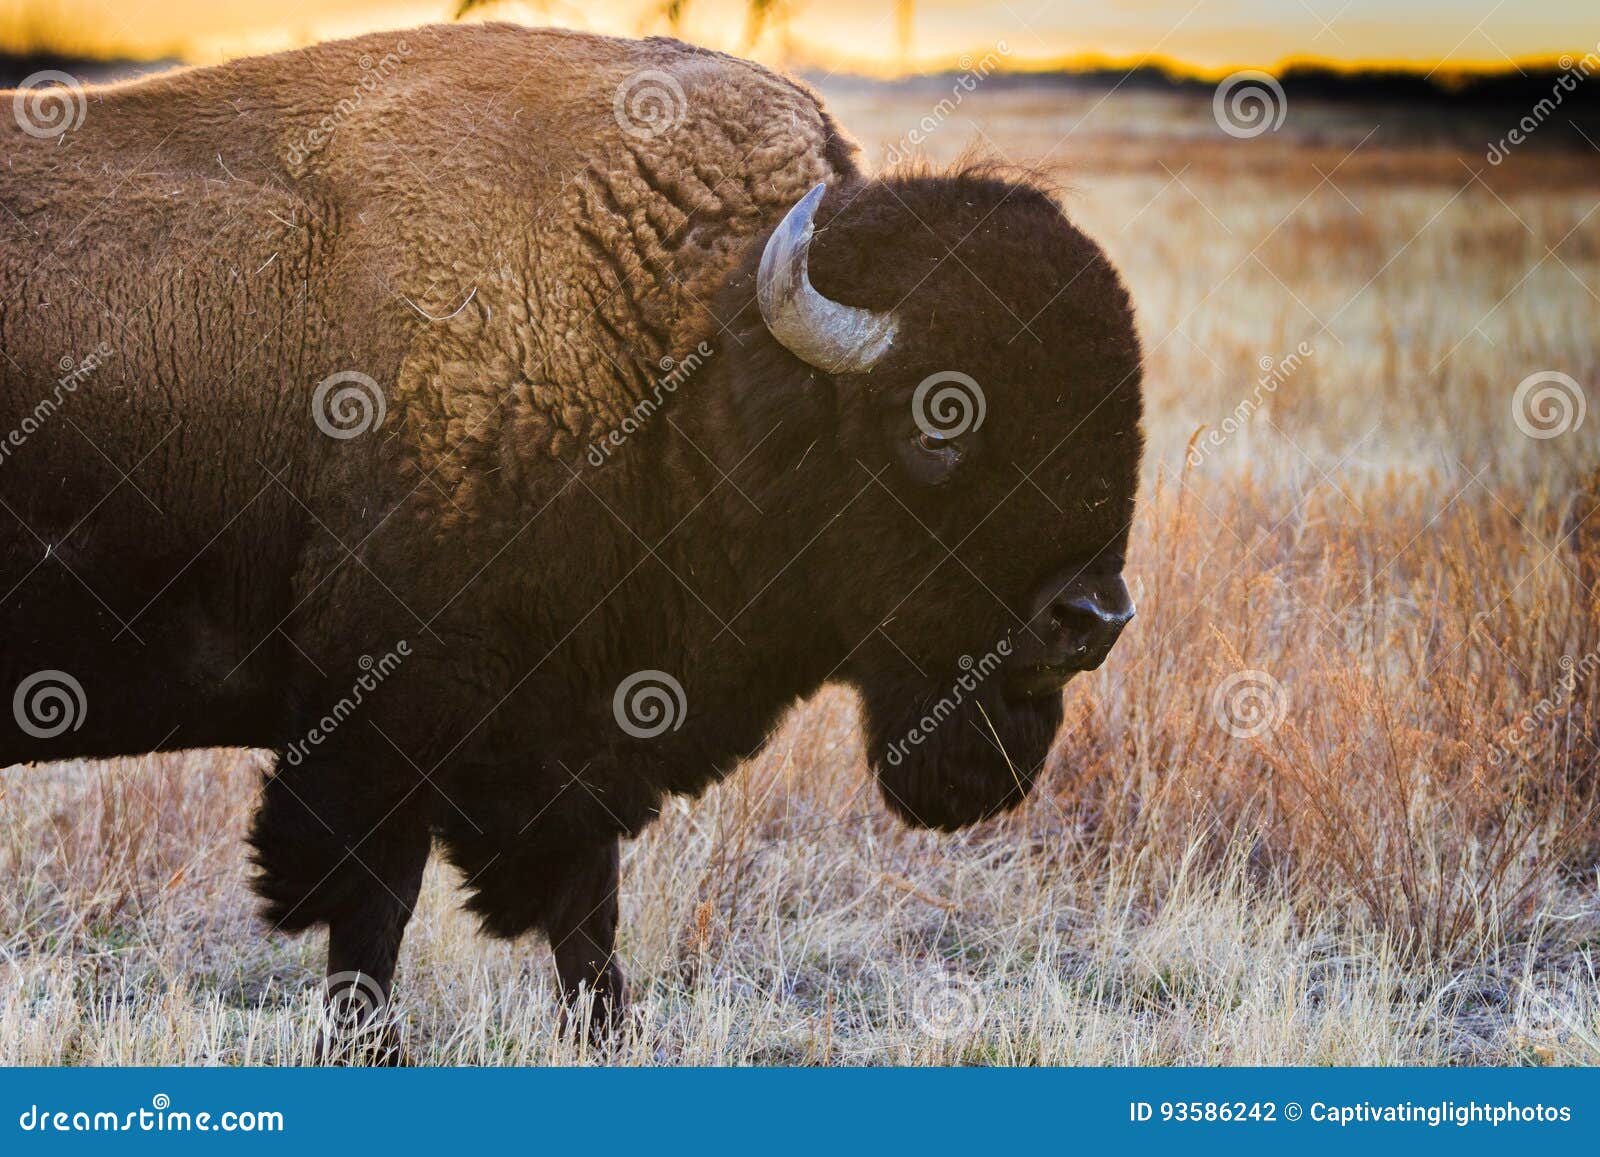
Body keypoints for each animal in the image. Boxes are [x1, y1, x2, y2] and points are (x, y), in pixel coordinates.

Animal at [0, 24, 1143, 1049]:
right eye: (936, 424)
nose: (1090, 618)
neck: (686, 340)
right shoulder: (385, 724)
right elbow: (376, 912)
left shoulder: (580, 732)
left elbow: (587, 923)